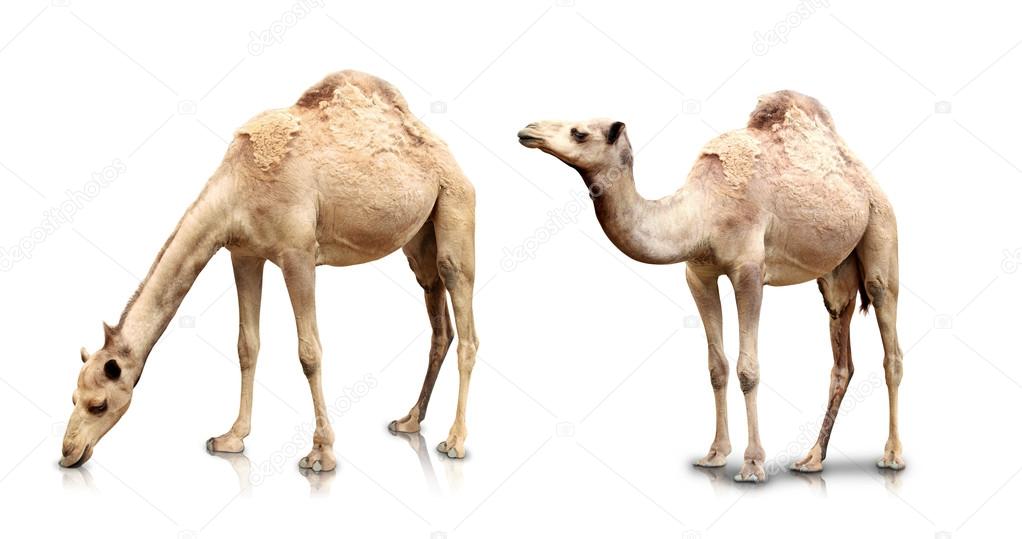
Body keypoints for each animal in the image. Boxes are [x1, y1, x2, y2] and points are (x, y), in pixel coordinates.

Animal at [60, 70, 480, 471]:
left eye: (99, 404)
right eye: (73, 397)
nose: (68, 452)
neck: (238, 186)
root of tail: (449, 156)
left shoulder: (298, 254)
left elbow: (309, 352)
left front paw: (320, 454)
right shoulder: (244, 254)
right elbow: (247, 345)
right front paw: (231, 438)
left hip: (456, 204)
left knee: (464, 319)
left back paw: (454, 442)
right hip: (420, 240)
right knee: (439, 321)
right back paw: (409, 420)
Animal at [517, 91, 903, 482]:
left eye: (579, 133)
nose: (527, 130)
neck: (701, 212)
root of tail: (866, 179)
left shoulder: (749, 270)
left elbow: (748, 369)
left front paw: (752, 464)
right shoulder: (698, 274)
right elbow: (716, 367)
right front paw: (715, 453)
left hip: (881, 233)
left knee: (890, 343)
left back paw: (891, 456)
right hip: (835, 276)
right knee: (841, 359)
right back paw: (811, 459)